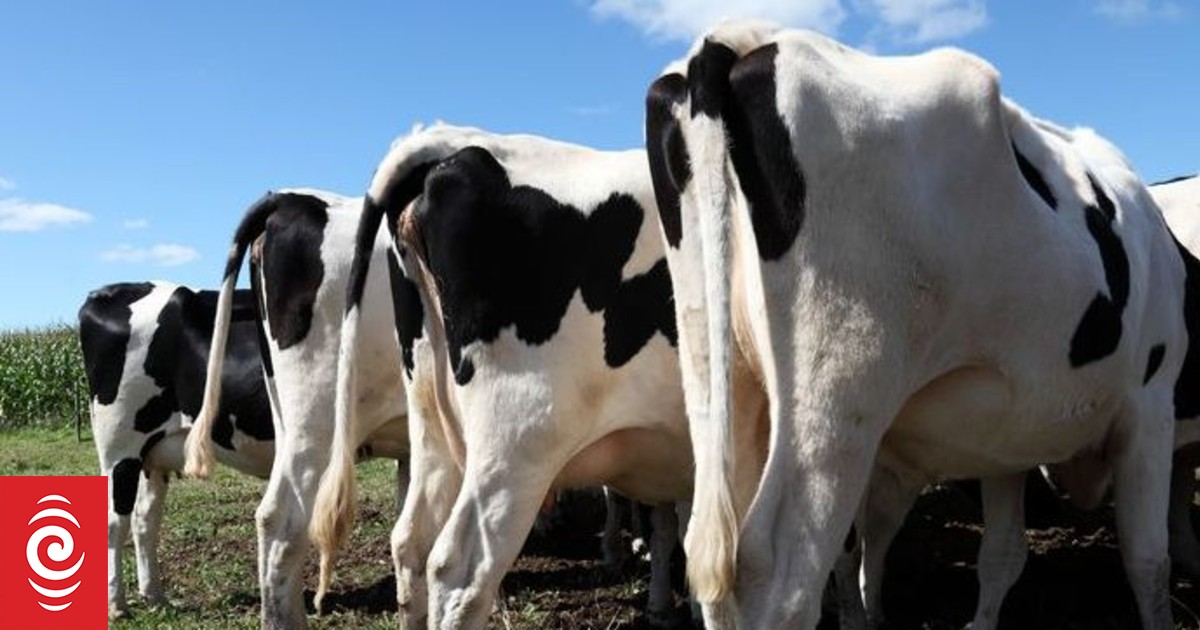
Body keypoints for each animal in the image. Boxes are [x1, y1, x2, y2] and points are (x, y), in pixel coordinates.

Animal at [79, 281, 275, 617]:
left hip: (153, 453)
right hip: (120, 451)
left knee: (145, 518)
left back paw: (154, 596)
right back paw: (117, 605)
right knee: (115, 523)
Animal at [645, 20, 1191, 629]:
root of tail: (744, 36)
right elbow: (1149, 559)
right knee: (779, 573)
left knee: (712, 557)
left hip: (718, 377)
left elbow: (1003, 554)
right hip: (839, 392)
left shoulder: (1006, 435)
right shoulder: (1152, 399)